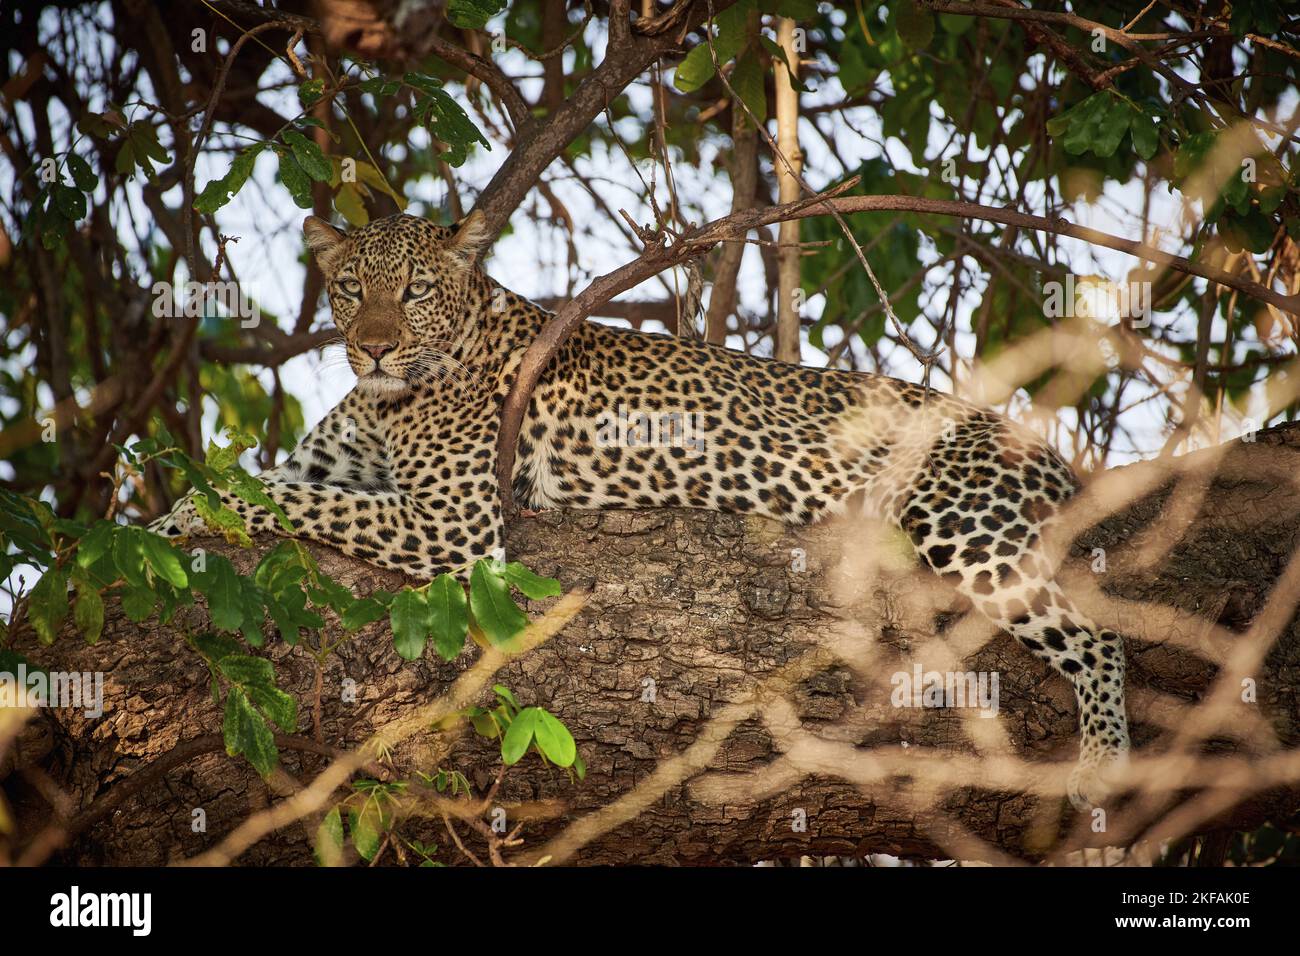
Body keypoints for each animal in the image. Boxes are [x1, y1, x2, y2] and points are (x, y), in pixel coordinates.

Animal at [152, 211, 1130, 811]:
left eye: (416, 291)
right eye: (352, 287)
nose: (374, 347)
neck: (394, 397)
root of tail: (1026, 438)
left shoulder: (453, 522)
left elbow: (288, 497)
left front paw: (199, 520)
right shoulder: (344, 466)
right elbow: (251, 485)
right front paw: (157, 529)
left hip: (965, 525)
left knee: (1099, 636)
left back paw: (1106, 764)